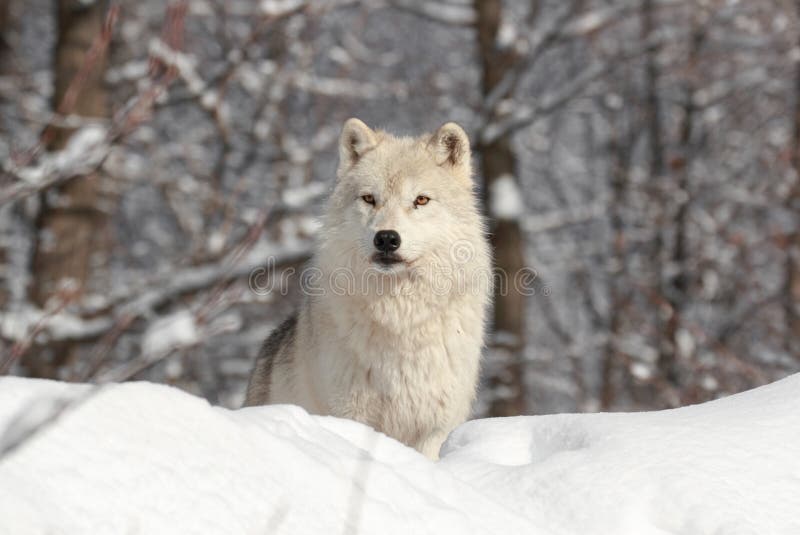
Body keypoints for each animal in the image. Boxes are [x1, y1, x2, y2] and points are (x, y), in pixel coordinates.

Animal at [244, 118, 491, 459]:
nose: (386, 238)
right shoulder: (351, 415)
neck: (400, 319)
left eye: (421, 200)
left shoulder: (433, 428)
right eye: (369, 199)